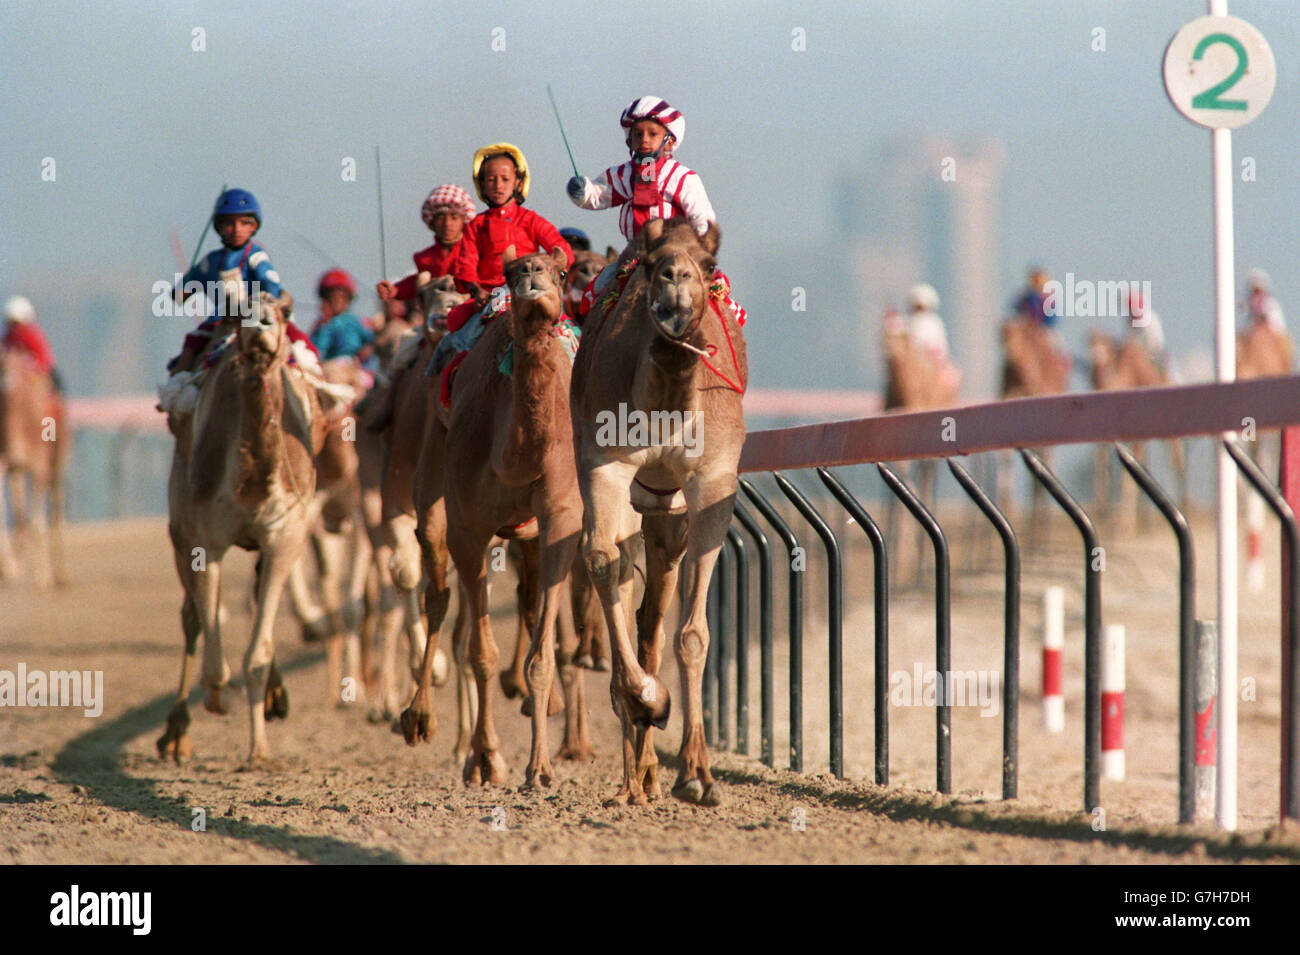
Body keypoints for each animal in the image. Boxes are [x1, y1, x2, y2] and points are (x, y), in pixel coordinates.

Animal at [0, 349, 69, 588]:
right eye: (0, 365)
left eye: (13, 366)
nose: (6, 383)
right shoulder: (7, 464)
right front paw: (8, 569)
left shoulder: (39, 469)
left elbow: (37, 523)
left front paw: (42, 578)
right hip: (18, 472)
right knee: (21, 515)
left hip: (59, 460)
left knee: (57, 507)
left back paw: (61, 575)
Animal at [158, 291, 329, 764]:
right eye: (242, 312)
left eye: (283, 312)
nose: (259, 328)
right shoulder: (202, 539)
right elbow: (212, 646)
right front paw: (218, 698)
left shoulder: (285, 536)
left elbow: (258, 653)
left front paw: (260, 751)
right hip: (179, 525)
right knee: (191, 618)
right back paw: (176, 733)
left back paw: (275, 698)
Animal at [571, 217, 747, 806]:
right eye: (651, 265)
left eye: (710, 265)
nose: (675, 279)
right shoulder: (604, 463)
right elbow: (602, 563)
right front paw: (651, 700)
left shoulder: (712, 479)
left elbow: (691, 633)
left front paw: (697, 774)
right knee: (629, 591)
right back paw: (635, 774)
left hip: (669, 512)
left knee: (654, 613)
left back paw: (650, 772)